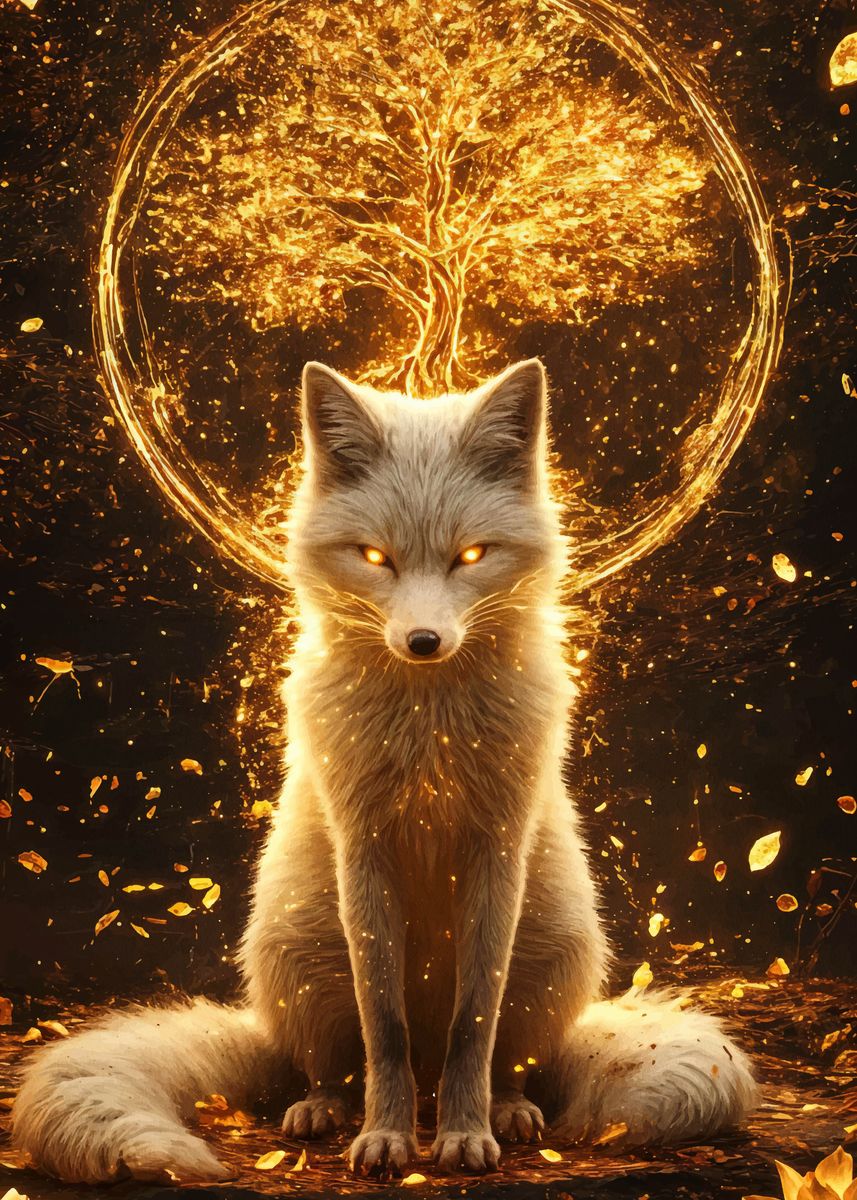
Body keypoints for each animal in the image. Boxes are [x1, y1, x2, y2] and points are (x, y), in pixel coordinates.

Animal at [12, 359, 757, 1184]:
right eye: (375, 558)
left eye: (471, 555)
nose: (423, 640)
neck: (428, 736)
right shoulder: (363, 850)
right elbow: (385, 1028)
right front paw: (386, 1139)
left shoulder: (496, 849)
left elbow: (472, 1025)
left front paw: (464, 1137)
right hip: (297, 956)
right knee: (328, 1066)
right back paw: (325, 1110)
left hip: (555, 957)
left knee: (506, 1061)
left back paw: (505, 1110)